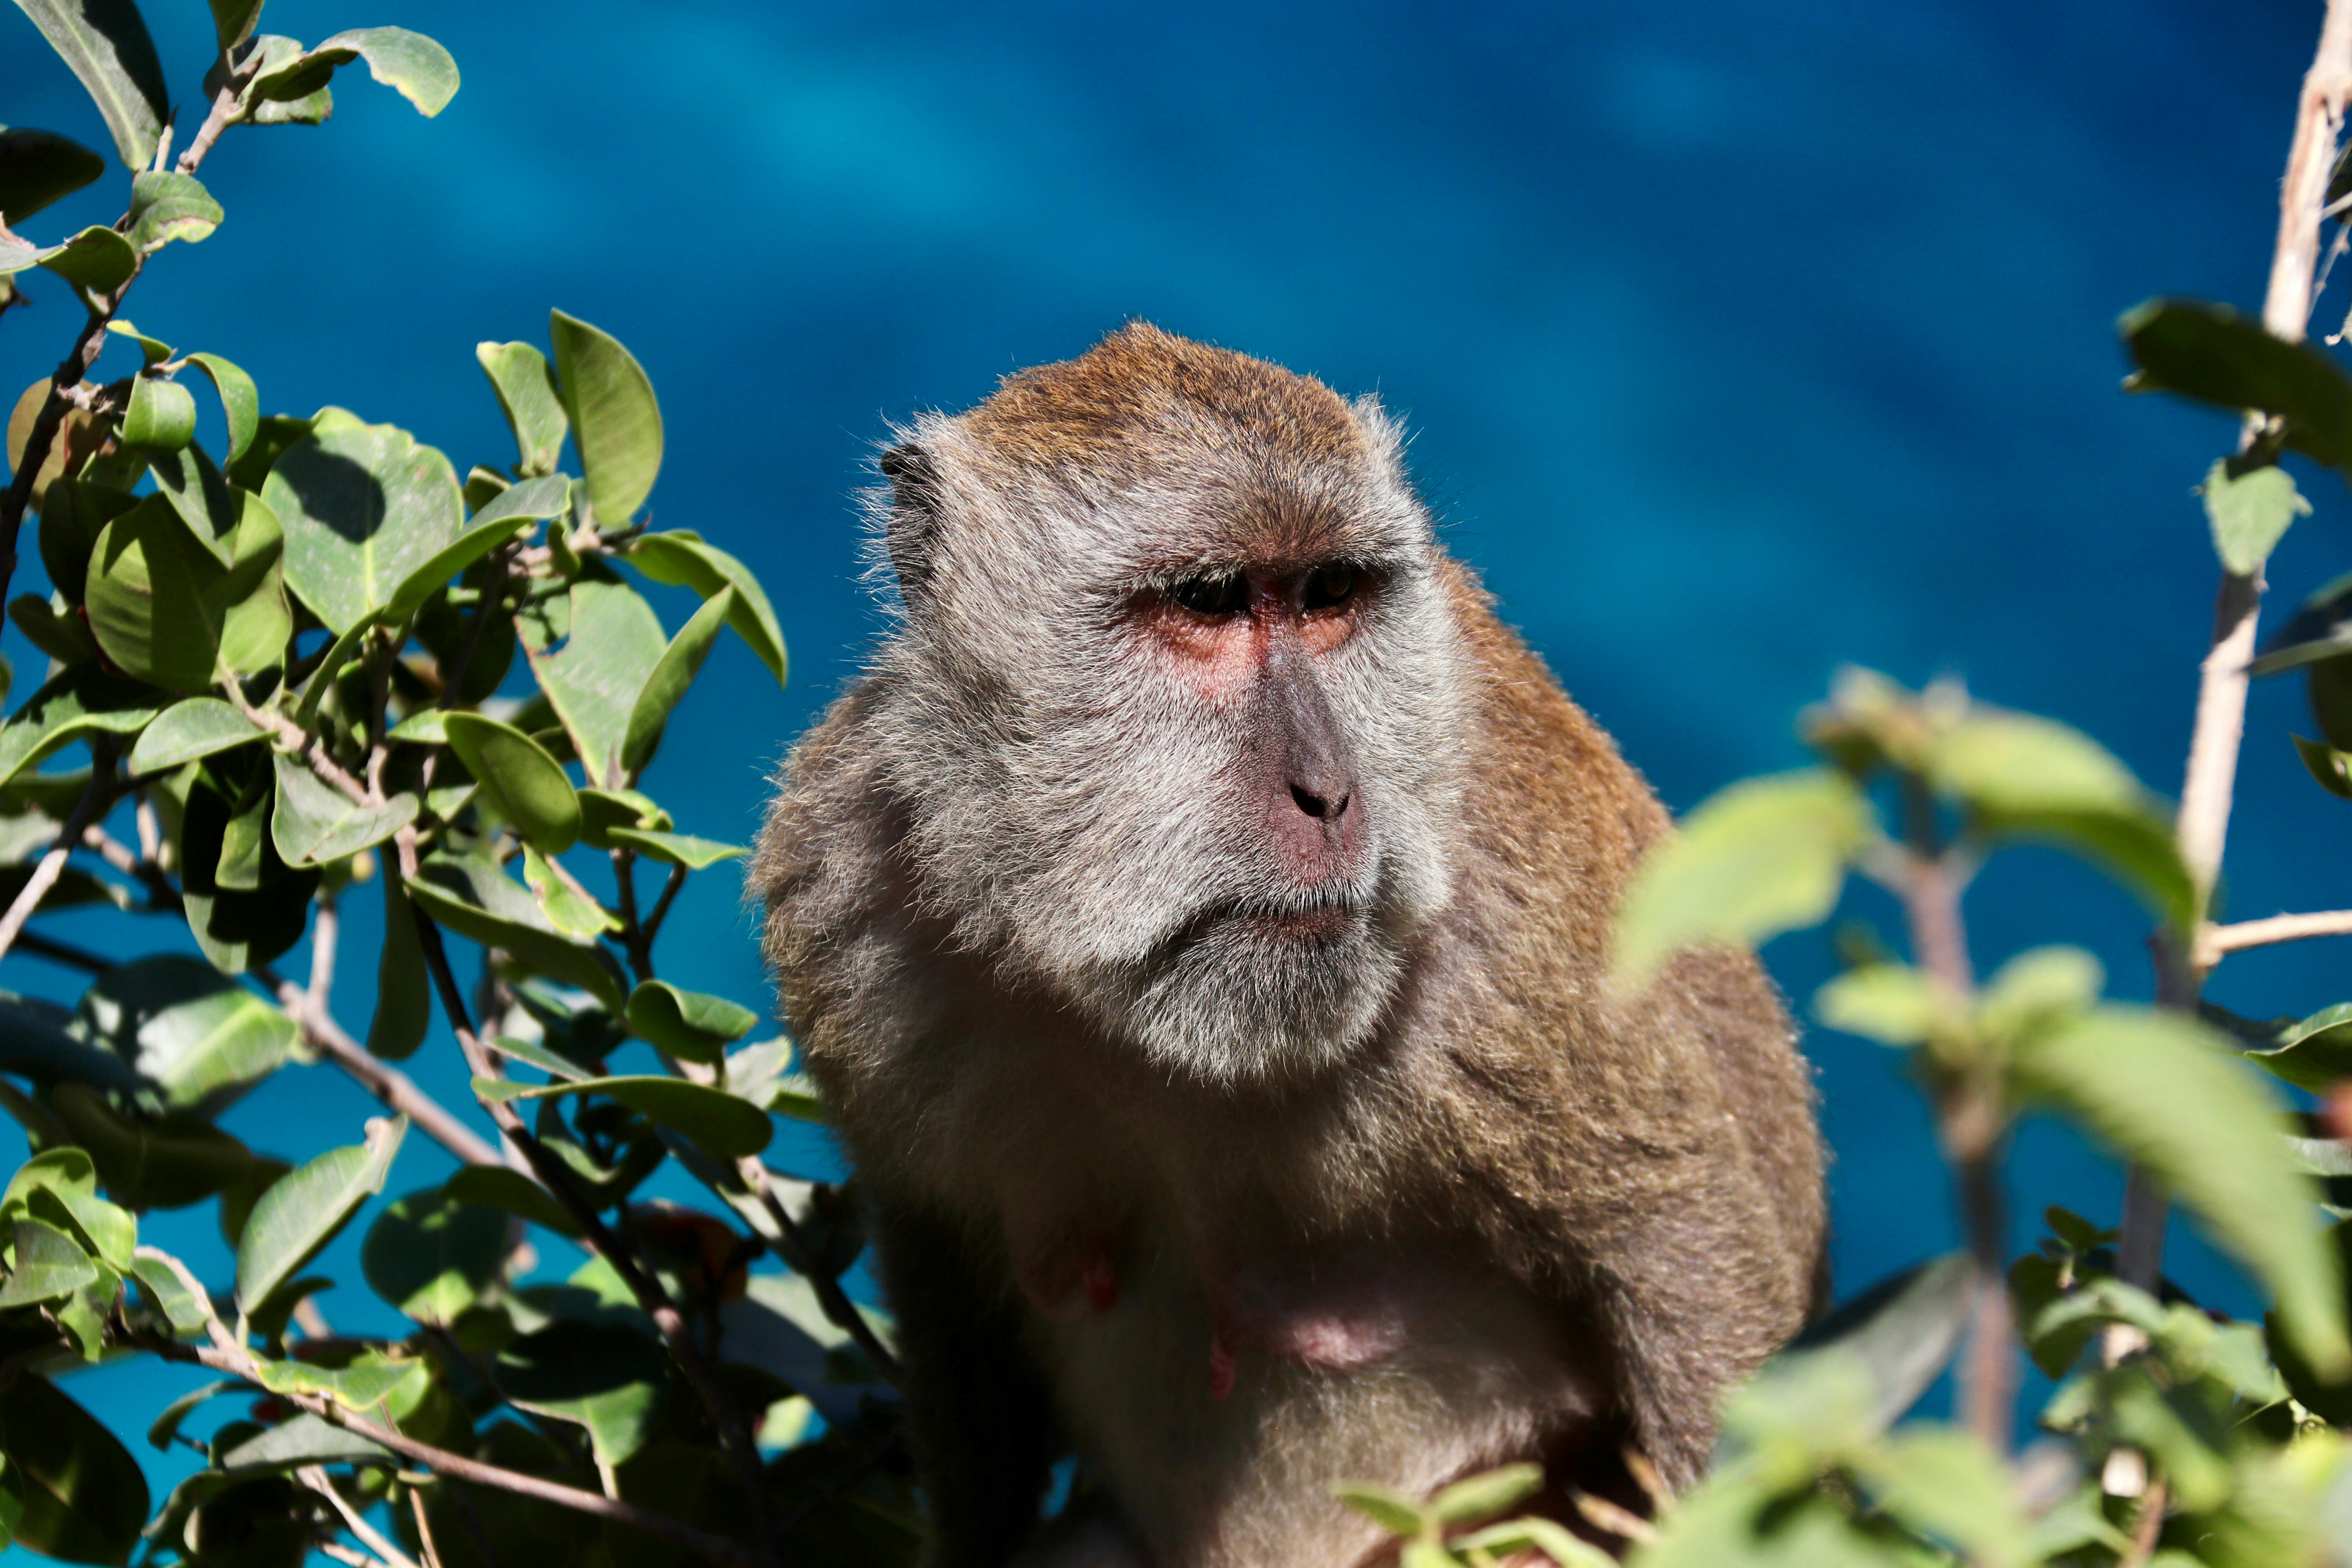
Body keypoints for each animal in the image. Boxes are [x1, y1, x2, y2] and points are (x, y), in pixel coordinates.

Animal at [752, 323, 1825, 1568]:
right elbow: (936, 1251)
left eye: (1330, 594)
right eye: (1210, 600)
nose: (1329, 791)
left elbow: (1682, 1240)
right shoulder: (843, 886)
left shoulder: (1515, 943)